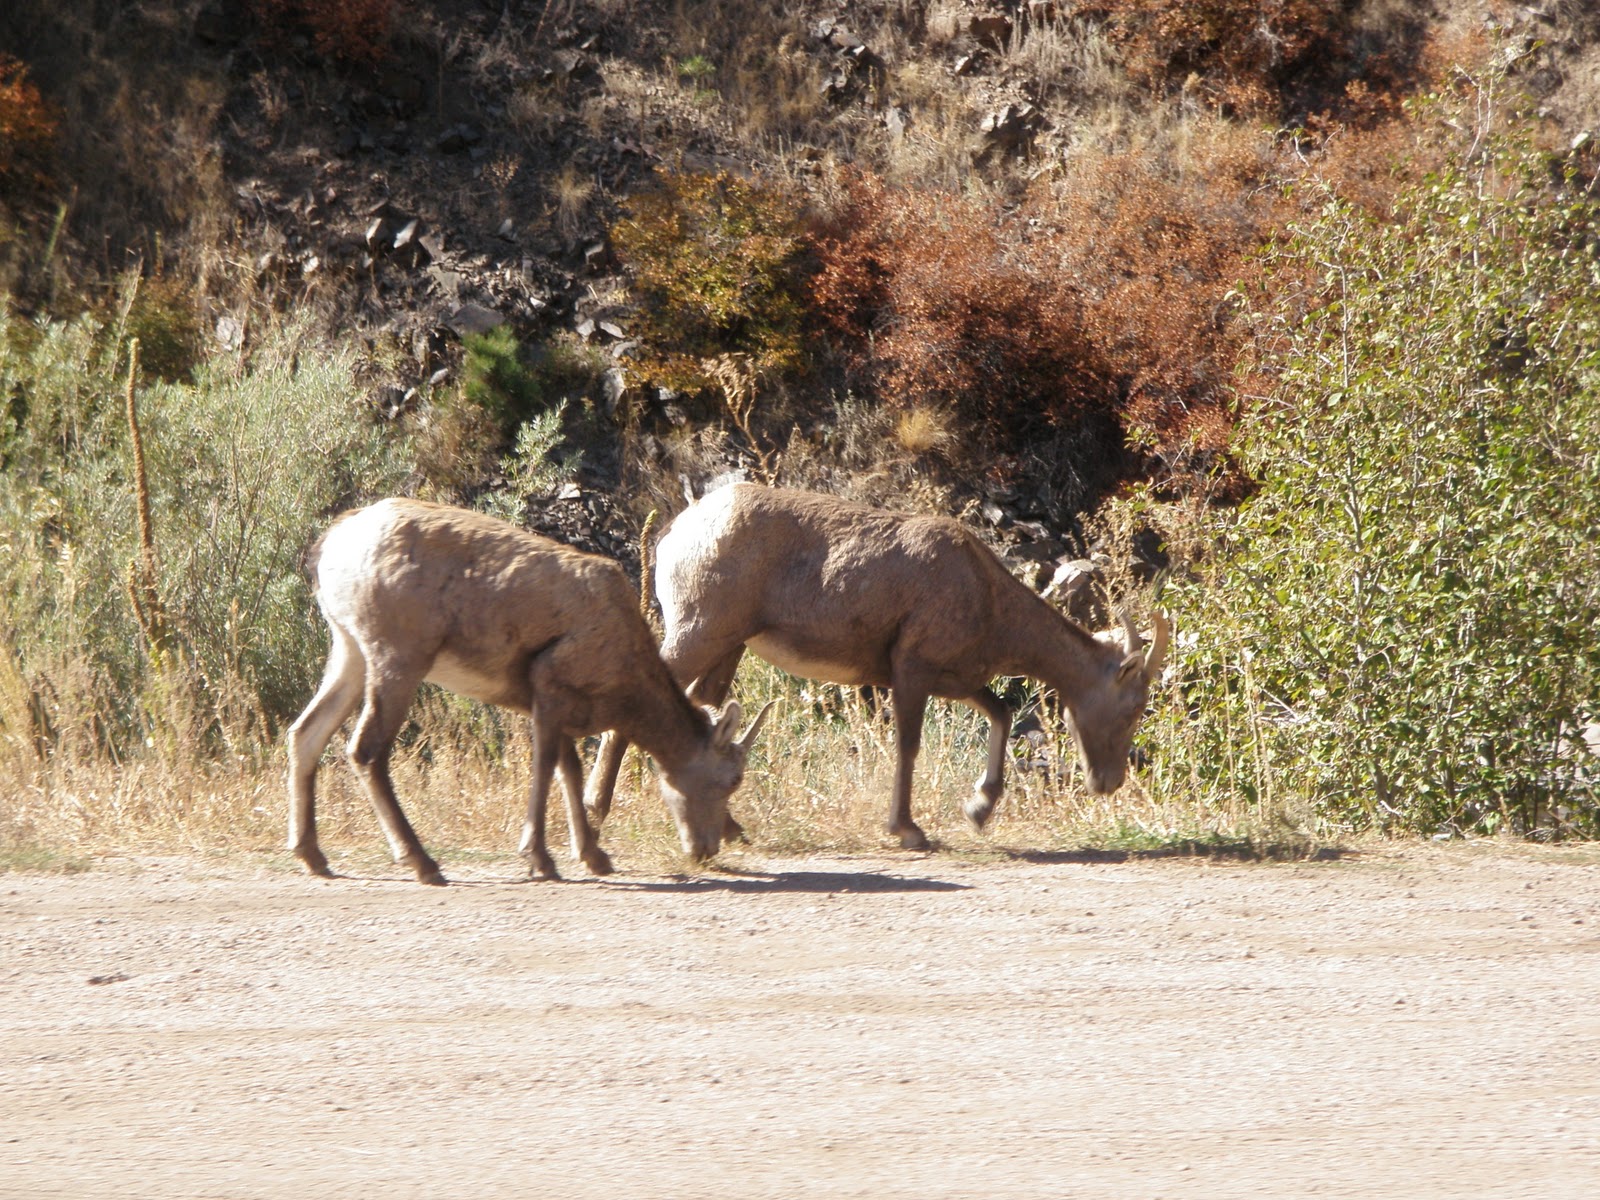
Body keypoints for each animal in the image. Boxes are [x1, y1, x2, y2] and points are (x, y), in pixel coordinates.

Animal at [285, 498, 770, 884]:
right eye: (732, 778)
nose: (707, 849)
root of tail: (331, 545)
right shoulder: (549, 686)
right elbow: (545, 767)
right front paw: (540, 859)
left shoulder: (557, 707)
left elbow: (569, 769)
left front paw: (594, 856)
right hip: (398, 659)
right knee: (366, 750)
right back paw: (423, 863)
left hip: (348, 650)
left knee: (305, 733)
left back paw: (313, 857)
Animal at [586, 484, 1168, 851]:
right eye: (1132, 708)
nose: (1108, 783)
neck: (985, 592)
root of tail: (673, 535)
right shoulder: (911, 673)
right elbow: (908, 747)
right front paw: (909, 831)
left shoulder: (955, 680)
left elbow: (1000, 714)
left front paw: (978, 810)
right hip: (699, 632)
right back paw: (596, 810)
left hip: (726, 647)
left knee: (706, 713)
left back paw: (731, 829)